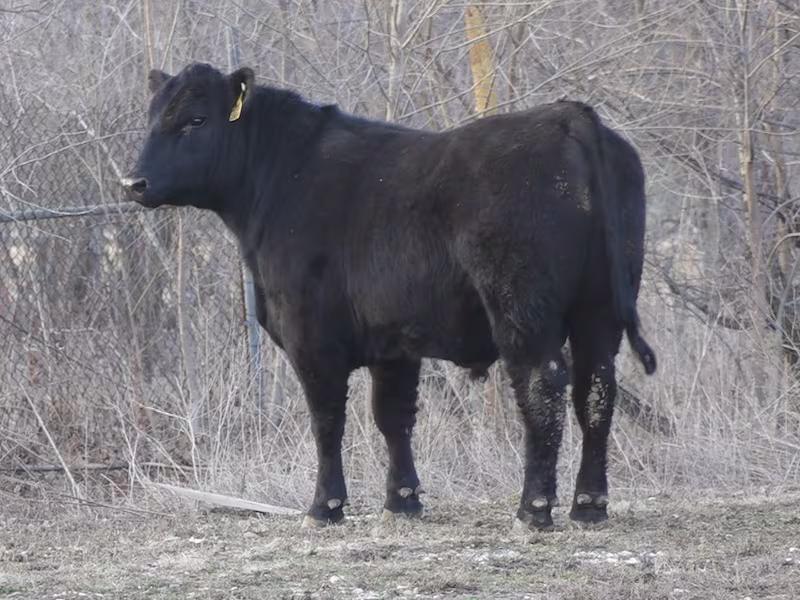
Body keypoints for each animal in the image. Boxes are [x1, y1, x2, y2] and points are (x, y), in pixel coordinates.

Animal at [122, 62, 656, 531]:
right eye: (150, 117)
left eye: (196, 119)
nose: (133, 182)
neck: (280, 179)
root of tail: (566, 116)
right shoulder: (394, 340)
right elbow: (393, 416)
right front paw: (402, 502)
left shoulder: (309, 333)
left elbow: (327, 419)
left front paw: (324, 508)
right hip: (599, 308)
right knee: (596, 391)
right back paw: (589, 507)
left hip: (523, 308)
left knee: (543, 387)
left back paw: (533, 511)